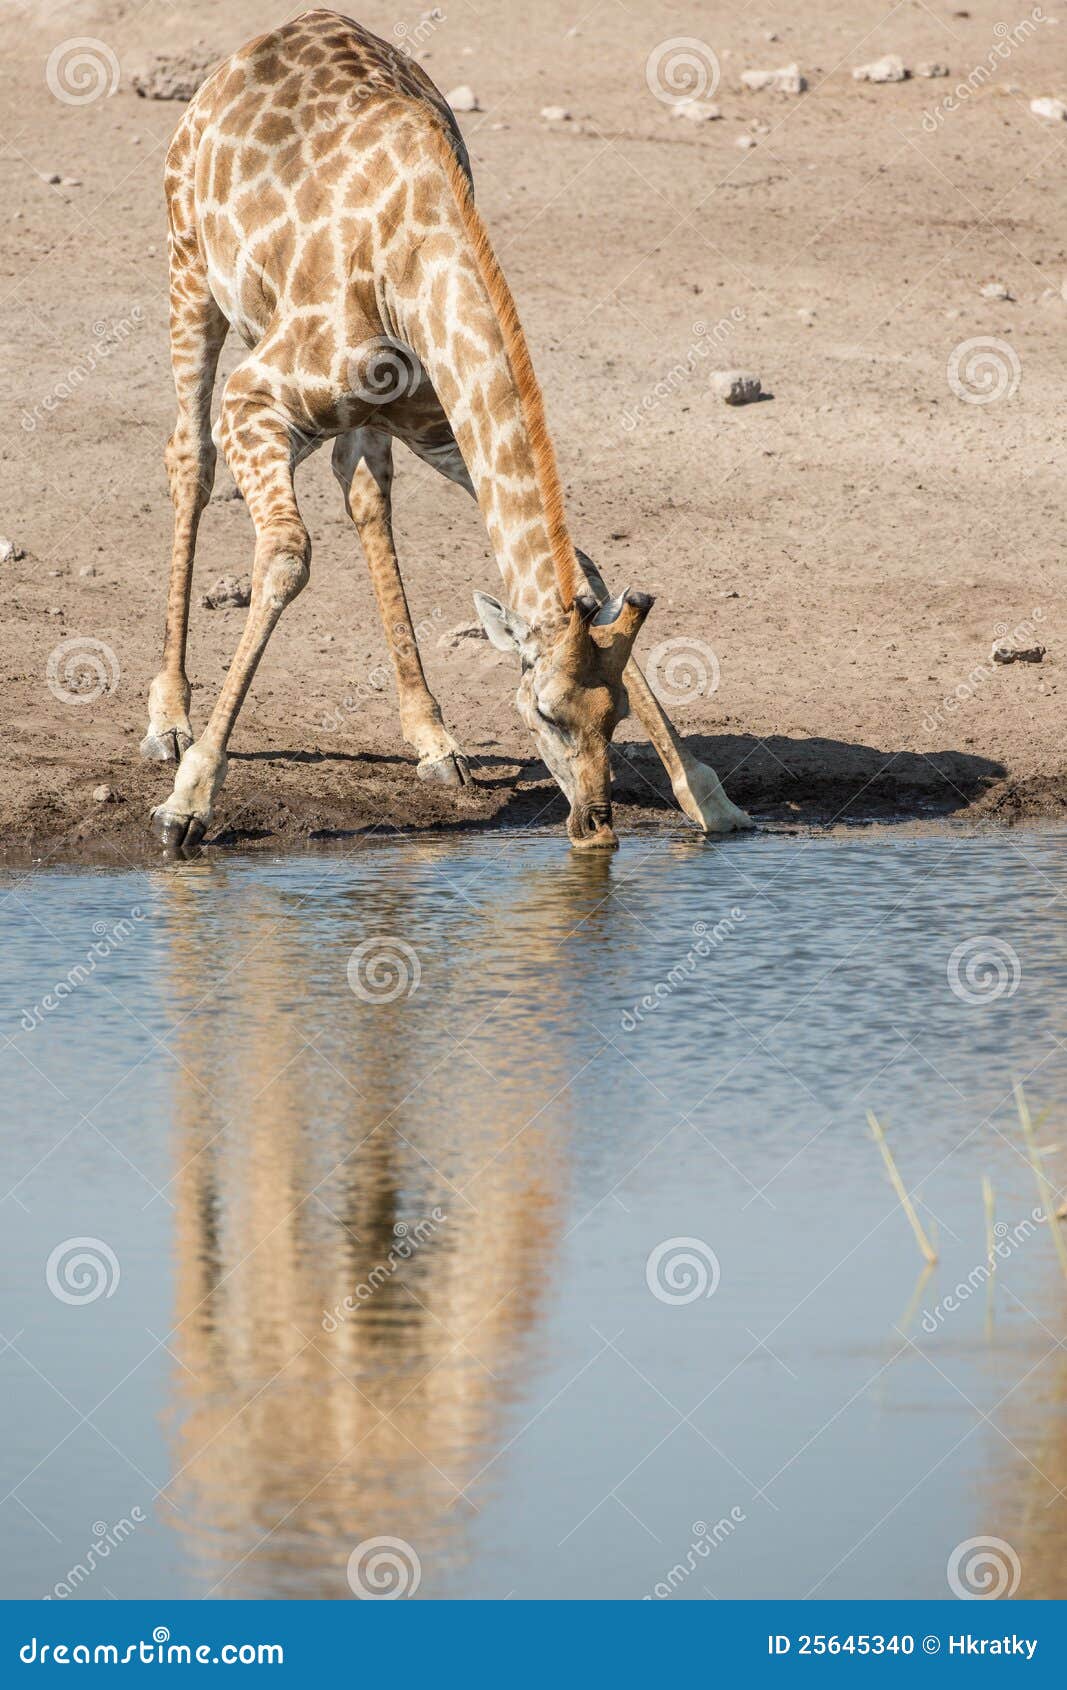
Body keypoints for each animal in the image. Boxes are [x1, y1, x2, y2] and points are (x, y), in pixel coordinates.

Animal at [143, 8, 752, 850]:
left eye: (618, 713)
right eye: (543, 714)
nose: (594, 828)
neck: (406, 270)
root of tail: (264, 41)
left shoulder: (446, 425)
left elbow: (585, 570)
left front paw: (708, 798)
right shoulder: (254, 399)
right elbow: (286, 558)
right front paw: (189, 800)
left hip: (365, 416)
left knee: (363, 492)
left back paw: (433, 740)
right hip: (189, 270)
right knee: (189, 457)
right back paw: (168, 720)